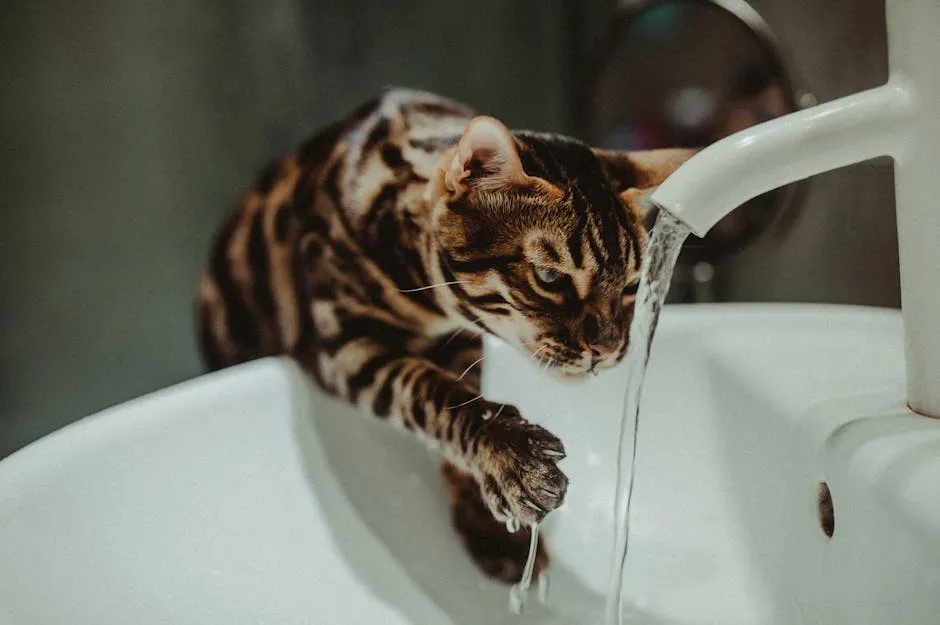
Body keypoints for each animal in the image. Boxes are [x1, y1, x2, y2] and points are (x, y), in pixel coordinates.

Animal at [196, 89, 692, 584]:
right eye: (550, 278)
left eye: (631, 285)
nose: (608, 349)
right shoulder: (344, 342)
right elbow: (431, 394)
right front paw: (509, 457)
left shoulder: (460, 343)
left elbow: (458, 409)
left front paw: (489, 522)